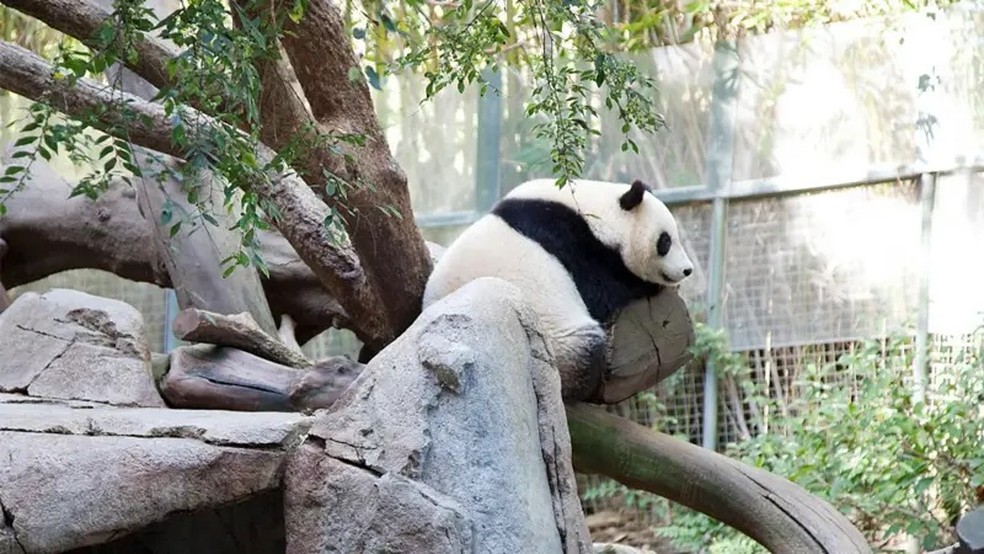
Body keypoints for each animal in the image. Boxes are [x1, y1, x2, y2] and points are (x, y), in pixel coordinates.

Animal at [422, 178, 694, 402]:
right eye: (665, 241)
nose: (687, 270)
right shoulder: (573, 245)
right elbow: (603, 291)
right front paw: (651, 285)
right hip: (556, 343)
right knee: (585, 353)